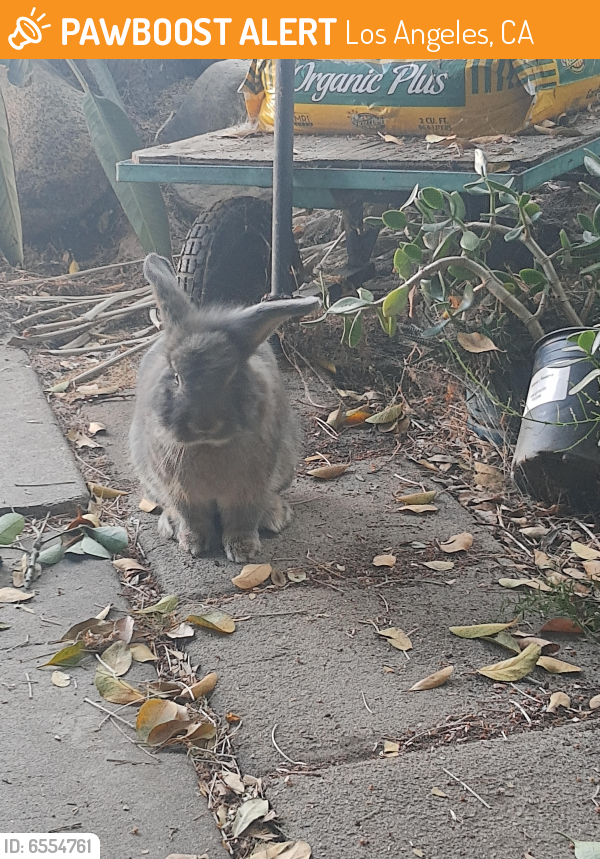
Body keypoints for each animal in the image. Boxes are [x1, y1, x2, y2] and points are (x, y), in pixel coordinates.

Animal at [130, 253, 320, 563]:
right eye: (176, 376)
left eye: (232, 376)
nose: (204, 424)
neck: (208, 446)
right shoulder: (182, 493)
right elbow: (192, 517)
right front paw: (192, 544)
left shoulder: (249, 490)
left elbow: (242, 518)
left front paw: (243, 550)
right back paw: (169, 525)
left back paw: (276, 516)